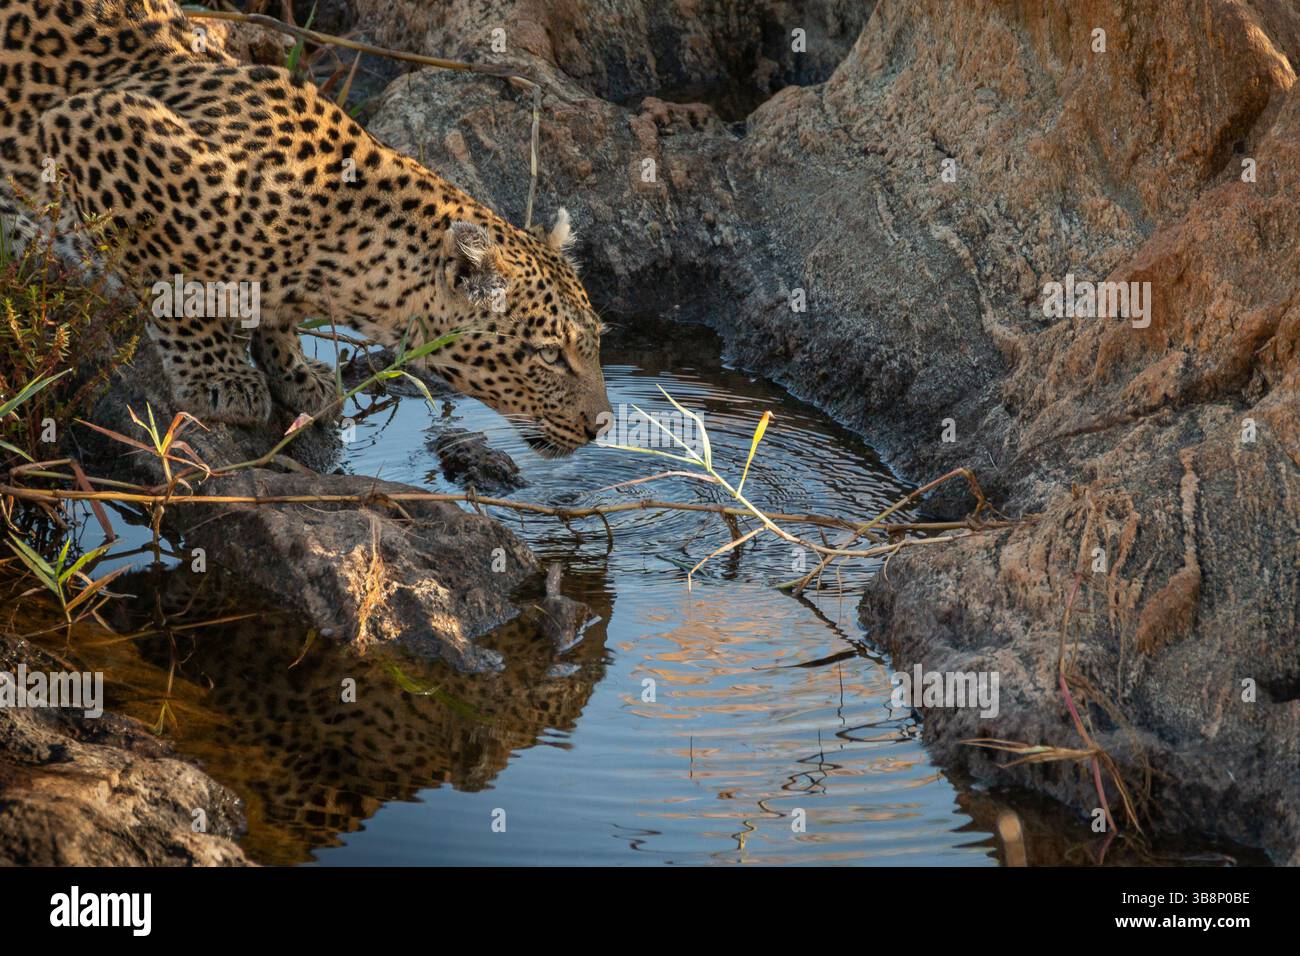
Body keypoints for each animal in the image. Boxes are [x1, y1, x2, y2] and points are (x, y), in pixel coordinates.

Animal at [0, 0, 611, 455]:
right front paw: (220, 378)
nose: (603, 425)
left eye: (596, 343)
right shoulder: (90, 123)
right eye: (549, 355)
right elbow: (174, 286)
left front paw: (294, 369)